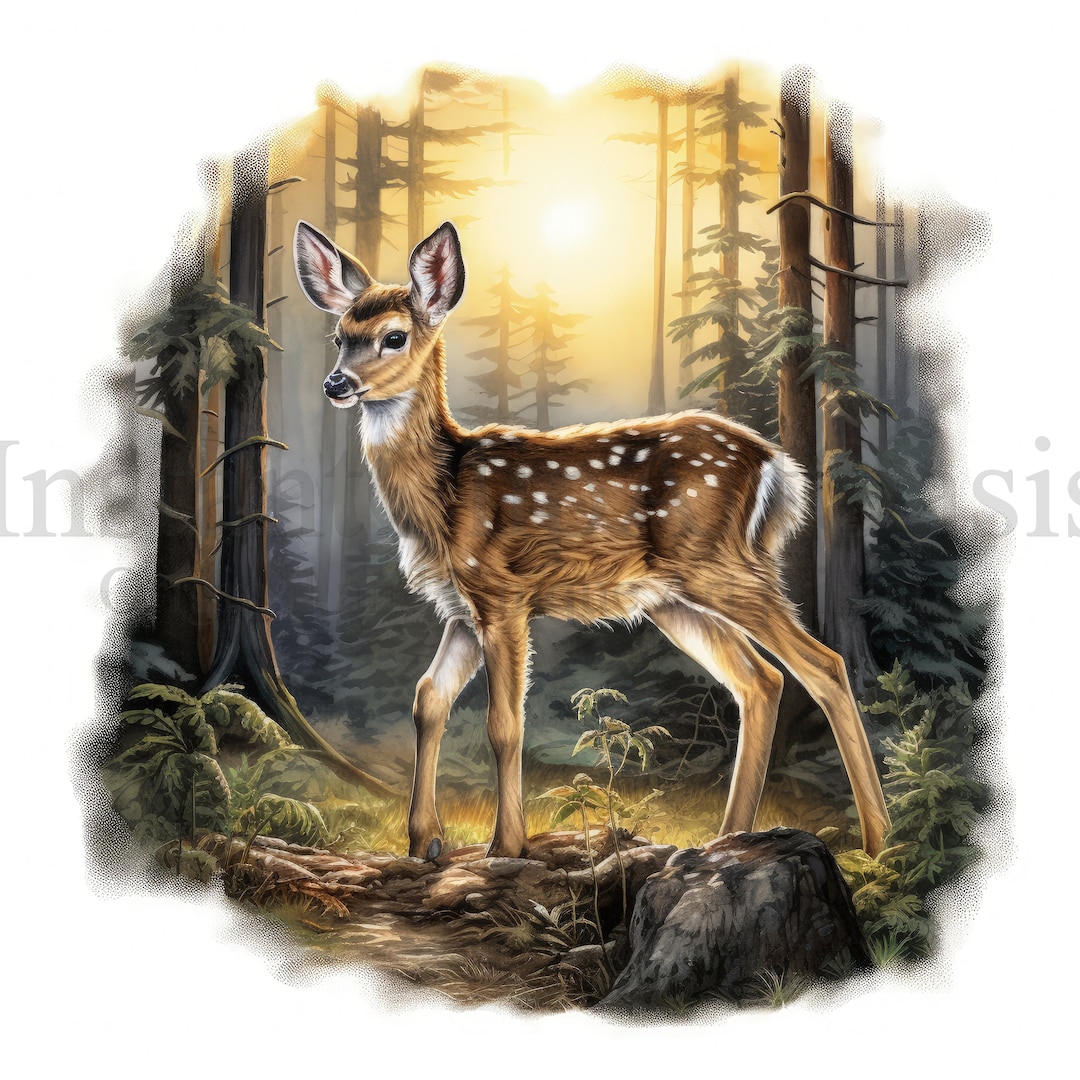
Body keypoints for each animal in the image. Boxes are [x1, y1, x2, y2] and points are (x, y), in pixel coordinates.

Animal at [294, 219, 890, 862]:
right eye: (339, 336)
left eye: (395, 337)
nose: (336, 383)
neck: (443, 497)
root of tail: (777, 464)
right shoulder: (459, 606)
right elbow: (428, 699)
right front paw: (424, 841)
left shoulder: (503, 591)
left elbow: (504, 724)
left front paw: (506, 845)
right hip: (673, 598)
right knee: (761, 680)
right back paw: (727, 836)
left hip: (721, 562)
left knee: (823, 664)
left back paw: (879, 842)